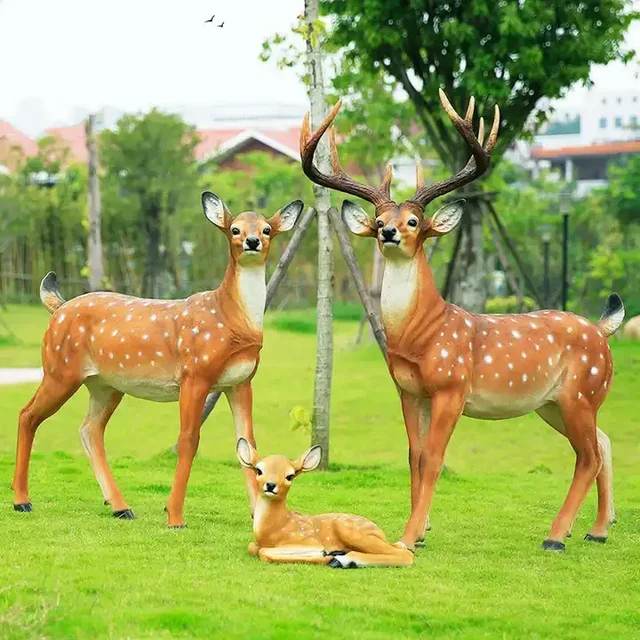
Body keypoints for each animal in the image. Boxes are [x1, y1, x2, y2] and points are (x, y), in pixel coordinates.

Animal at [11, 192, 303, 528]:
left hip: (105, 384)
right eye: (235, 229)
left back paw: (120, 507)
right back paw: (22, 501)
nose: (252, 241)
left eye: (267, 229)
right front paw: (174, 516)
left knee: (89, 429)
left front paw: (258, 515)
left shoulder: (241, 382)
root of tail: (58, 308)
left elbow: (247, 444)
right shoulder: (194, 374)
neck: (233, 321)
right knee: (28, 415)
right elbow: (188, 440)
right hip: (59, 368)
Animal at [236, 438, 414, 568]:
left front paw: (325, 555)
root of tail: (380, 532)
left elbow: (264, 552)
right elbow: (252, 547)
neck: (274, 529)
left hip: (352, 531)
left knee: (406, 554)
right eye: (259, 470)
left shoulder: (308, 541)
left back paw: (343, 559)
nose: (271, 485)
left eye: (290, 476)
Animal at [300, 89, 624, 552]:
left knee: (588, 455)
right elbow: (414, 456)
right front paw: (419, 532)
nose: (388, 233)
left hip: (582, 392)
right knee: (602, 444)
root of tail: (601, 330)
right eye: (379, 221)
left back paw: (556, 536)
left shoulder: (452, 386)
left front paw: (408, 536)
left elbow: (435, 458)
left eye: (414, 221)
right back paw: (597, 530)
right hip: (554, 403)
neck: (423, 335)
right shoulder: (408, 390)